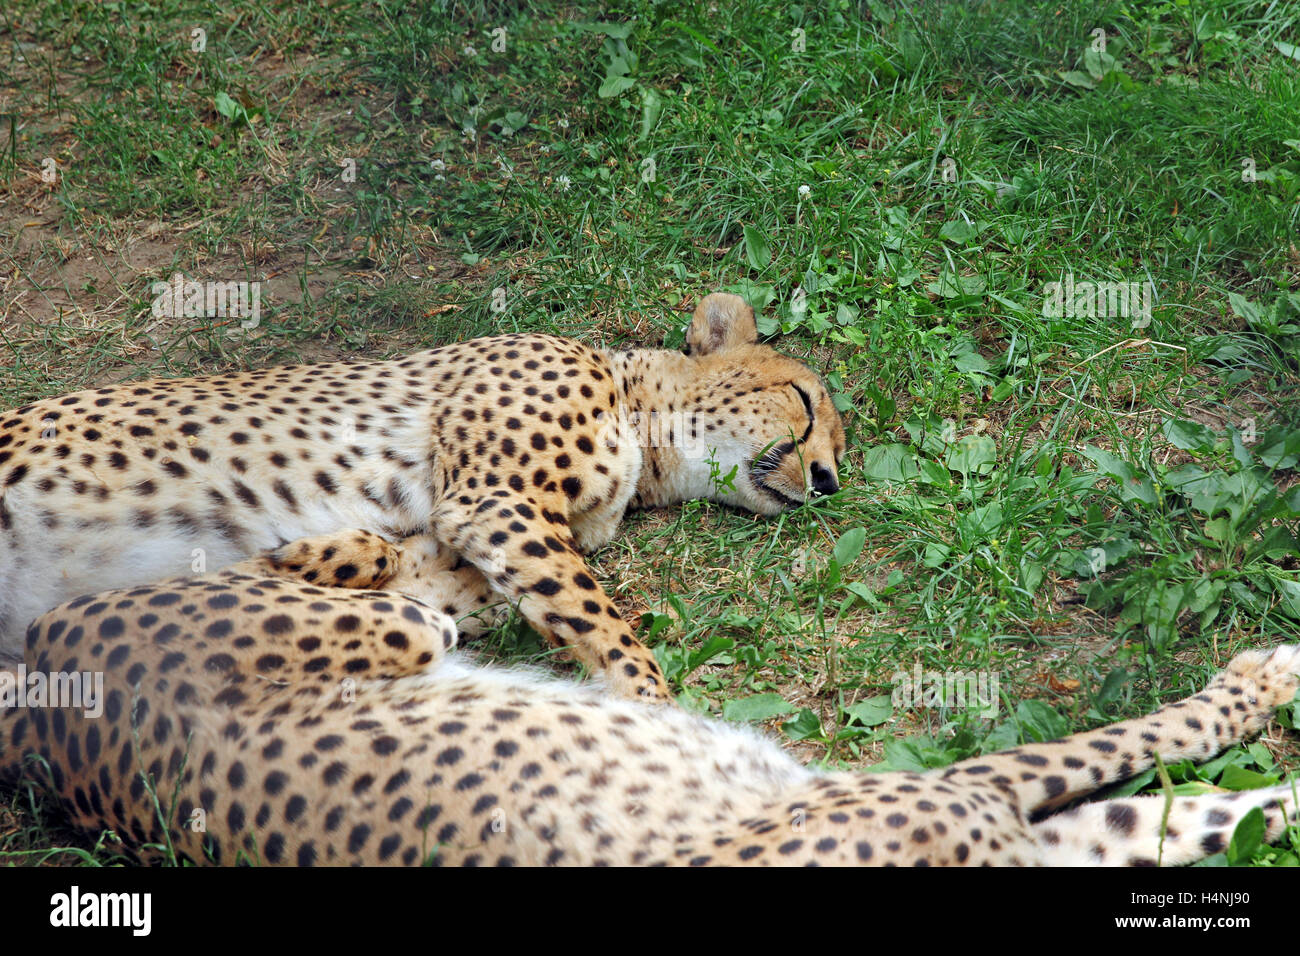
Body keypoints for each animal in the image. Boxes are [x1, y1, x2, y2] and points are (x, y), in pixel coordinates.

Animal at [0, 292, 846, 701]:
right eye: (804, 403)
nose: (830, 481)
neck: (637, 420)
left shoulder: (463, 540)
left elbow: (396, 570)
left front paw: (313, 558)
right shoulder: (496, 501)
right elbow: (607, 626)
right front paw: (656, 709)